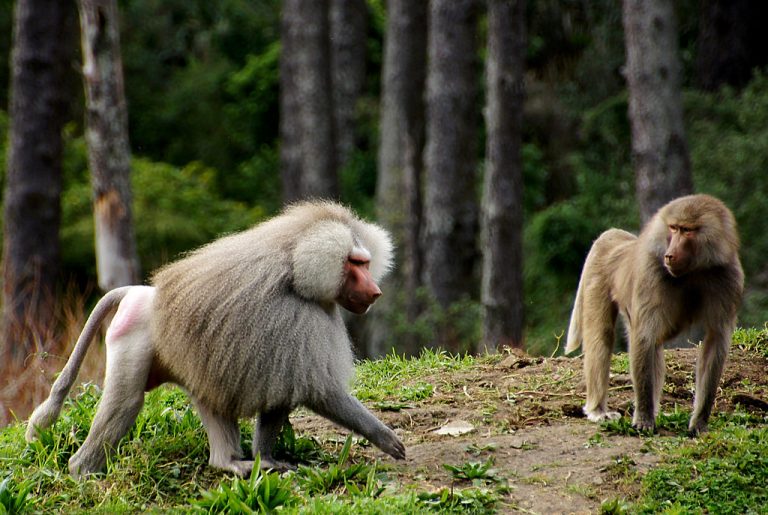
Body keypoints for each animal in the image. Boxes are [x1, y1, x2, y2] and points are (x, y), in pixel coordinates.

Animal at [25, 200, 406, 478]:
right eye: (355, 264)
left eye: (366, 263)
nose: (375, 292)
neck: (297, 266)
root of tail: (138, 292)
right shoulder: (297, 319)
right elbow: (318, 390)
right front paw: (385, 438)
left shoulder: (284, 343)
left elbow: (281, 393)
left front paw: (265, 457)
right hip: (132, 336)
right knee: (125, 404)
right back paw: (82, 474)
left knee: (210, 398)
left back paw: (230, 463)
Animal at [565, 194, 743, 435]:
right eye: (674, 228)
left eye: (687, 231)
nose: (669, 255)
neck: (694, 271)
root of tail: (619, 240)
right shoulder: (650, 274)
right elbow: (644, 337)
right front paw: (644, 419)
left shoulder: (728, 278)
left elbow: (715, 341)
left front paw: (699, 423)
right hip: (597, 277)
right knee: (602, 338)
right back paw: (598, 410)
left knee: (656, 343)